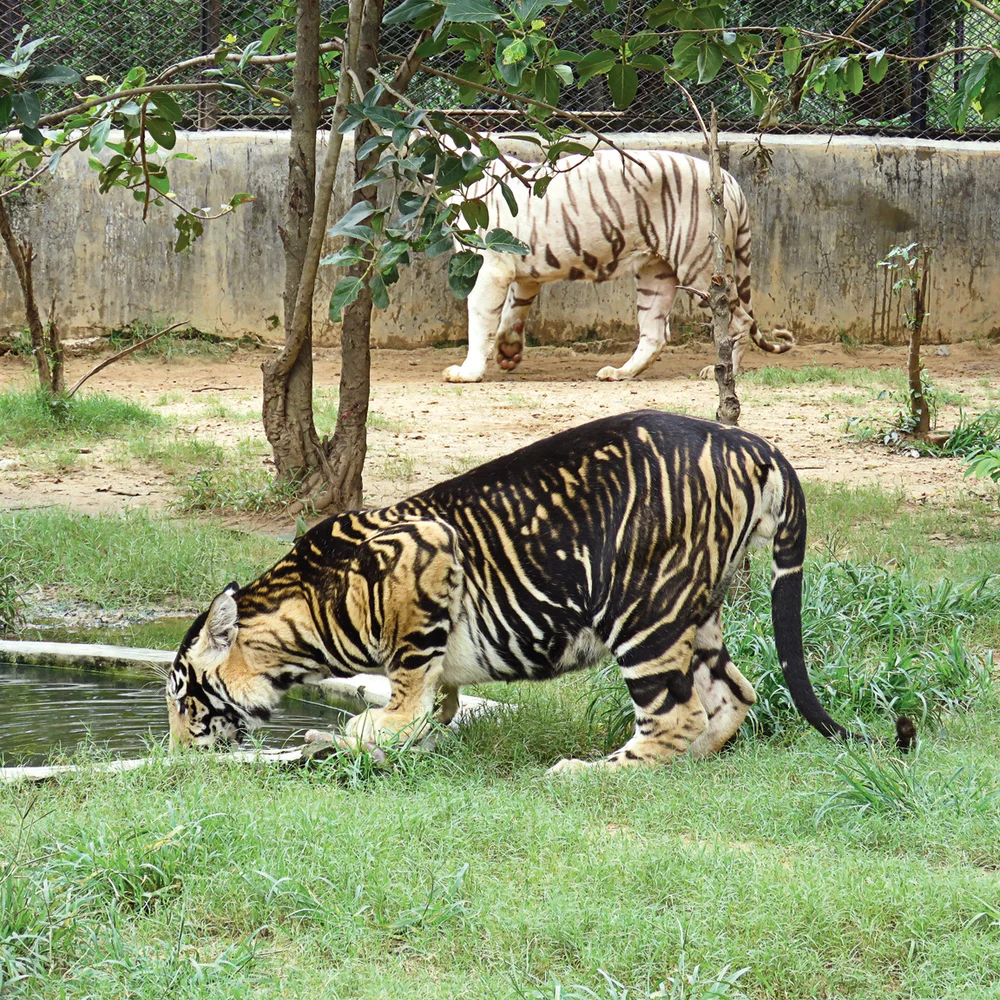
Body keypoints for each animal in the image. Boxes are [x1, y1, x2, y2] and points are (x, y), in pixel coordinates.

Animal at [166, 410, 911, 769]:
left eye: (181, 696)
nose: (174, 752)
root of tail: (752, 441)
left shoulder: (425, 554)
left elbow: (404, 689)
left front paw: (362, 733)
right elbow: (434, 698)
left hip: (643, 609)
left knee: (675, 717)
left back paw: (593, 770)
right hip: (695, 612)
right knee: (732, 697)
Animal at [440, 146, 794, 384]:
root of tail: (731, 182)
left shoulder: (490, 266)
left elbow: (480, 318)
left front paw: (468, 371)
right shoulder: (523, 272)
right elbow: (513, 310)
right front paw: (508, 352)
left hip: (700, 267)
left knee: (737, 320)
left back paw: (721, 369)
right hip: (655, 273)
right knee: (655, 333)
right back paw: (620, 372)